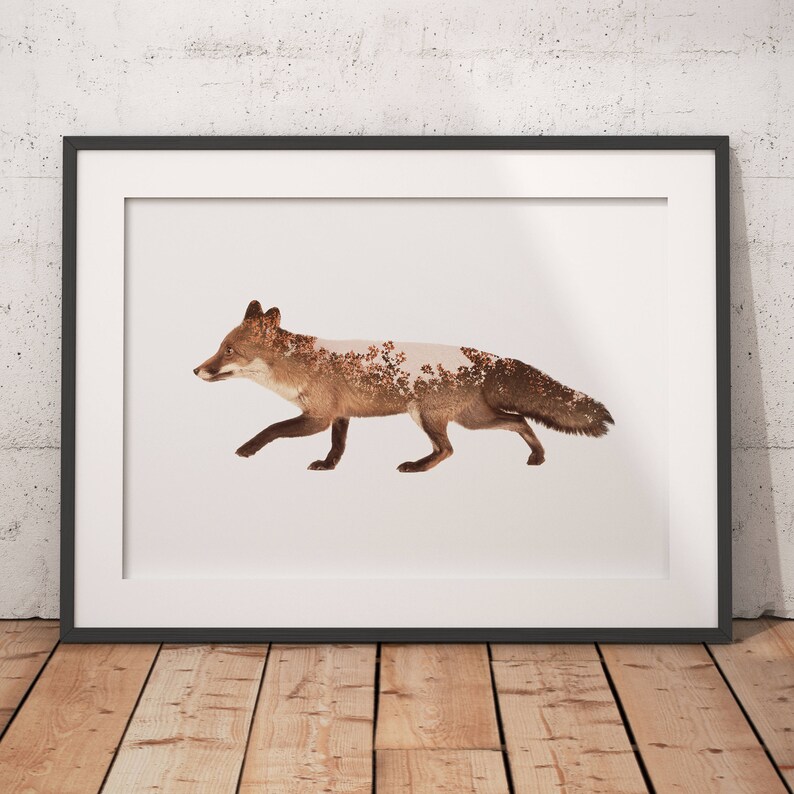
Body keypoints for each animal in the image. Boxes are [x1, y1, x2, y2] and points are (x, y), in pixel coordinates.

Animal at [194, 300, 614, 473]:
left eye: (228, 350)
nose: (196, 370)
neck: (300, 364)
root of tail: (480, 357)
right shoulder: (340, 416)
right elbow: (337, 446)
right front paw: (328, 466)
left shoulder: (317, 416)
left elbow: (271, 429)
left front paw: (246, 450)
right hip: (474, 418)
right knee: (519, 421)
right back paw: (538, 457)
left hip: (430, 417)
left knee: (449, 450)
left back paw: (418, 466)